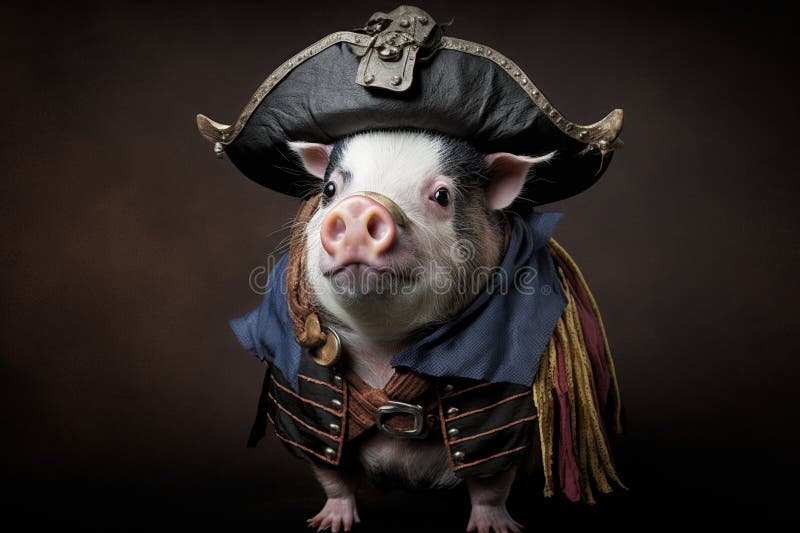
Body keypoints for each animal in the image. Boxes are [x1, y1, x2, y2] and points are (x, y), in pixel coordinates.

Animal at [287, 130, 555, 533]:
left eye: (442, 195)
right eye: (330, 189)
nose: (356, 207)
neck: (386, 347)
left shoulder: (504, 408)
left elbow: (491, 479)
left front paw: (493, 529)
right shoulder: (306, 404)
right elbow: (329, 467)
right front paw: (328, 524)